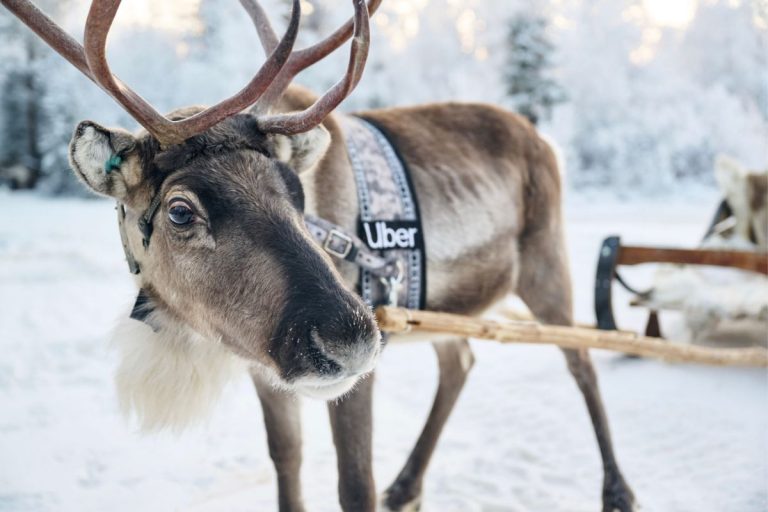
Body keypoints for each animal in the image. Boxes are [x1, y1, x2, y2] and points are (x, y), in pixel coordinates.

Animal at [2, 0, 636, 511]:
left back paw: (617, 490)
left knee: (582, 361)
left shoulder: (356, 375)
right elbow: (287, 461)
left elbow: (353, 486)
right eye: (180, 211)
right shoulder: (262, 364)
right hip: (444, 305)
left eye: (296, 191)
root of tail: (540, 137)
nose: (350, 340)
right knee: (460, 363)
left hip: (546, 267)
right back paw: (406, 486)